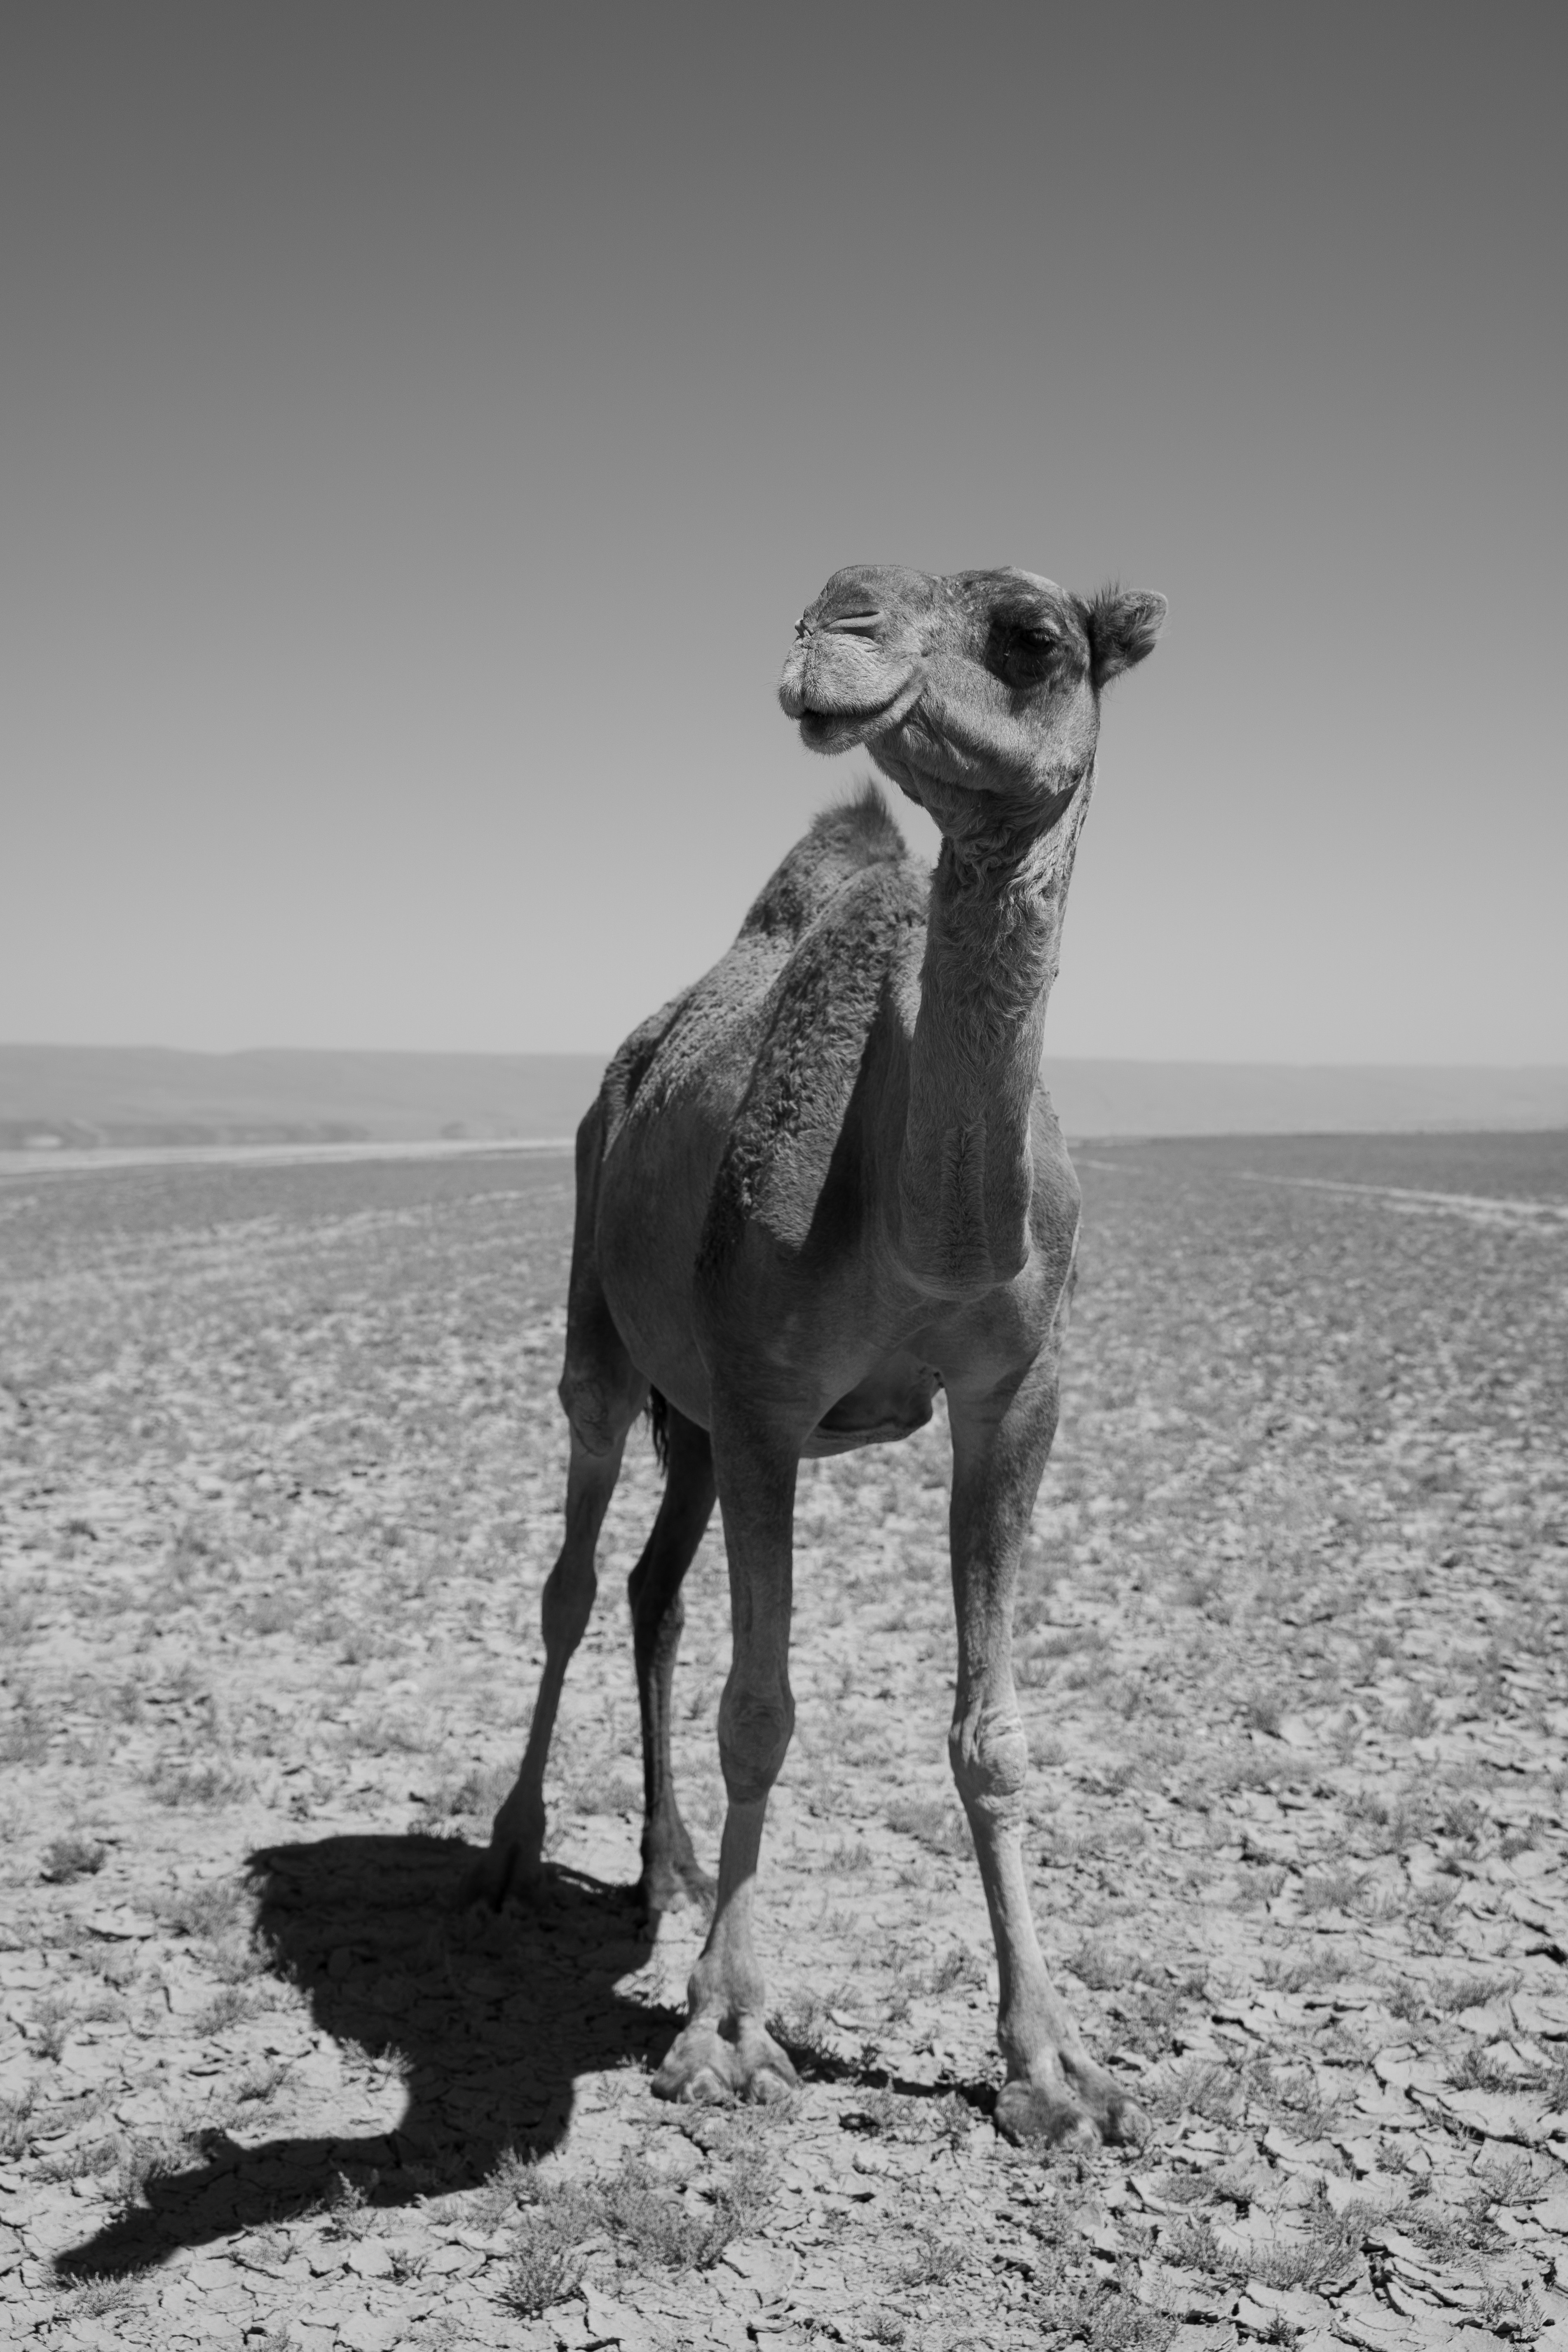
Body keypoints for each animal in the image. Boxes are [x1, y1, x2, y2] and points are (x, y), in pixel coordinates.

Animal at [472, 563, 1166, 2147]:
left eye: (1031, 634)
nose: (834, 621)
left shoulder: (1014, 1390)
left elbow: (990, 1733)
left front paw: (1051, 2060)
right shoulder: (768, 1395)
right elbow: (761, 1707)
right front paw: (725, 2028)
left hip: (693, 1417)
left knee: (652, 1587)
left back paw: (663, 1867)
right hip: (610, 1336)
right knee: (572, 1577)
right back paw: (514, 1851)